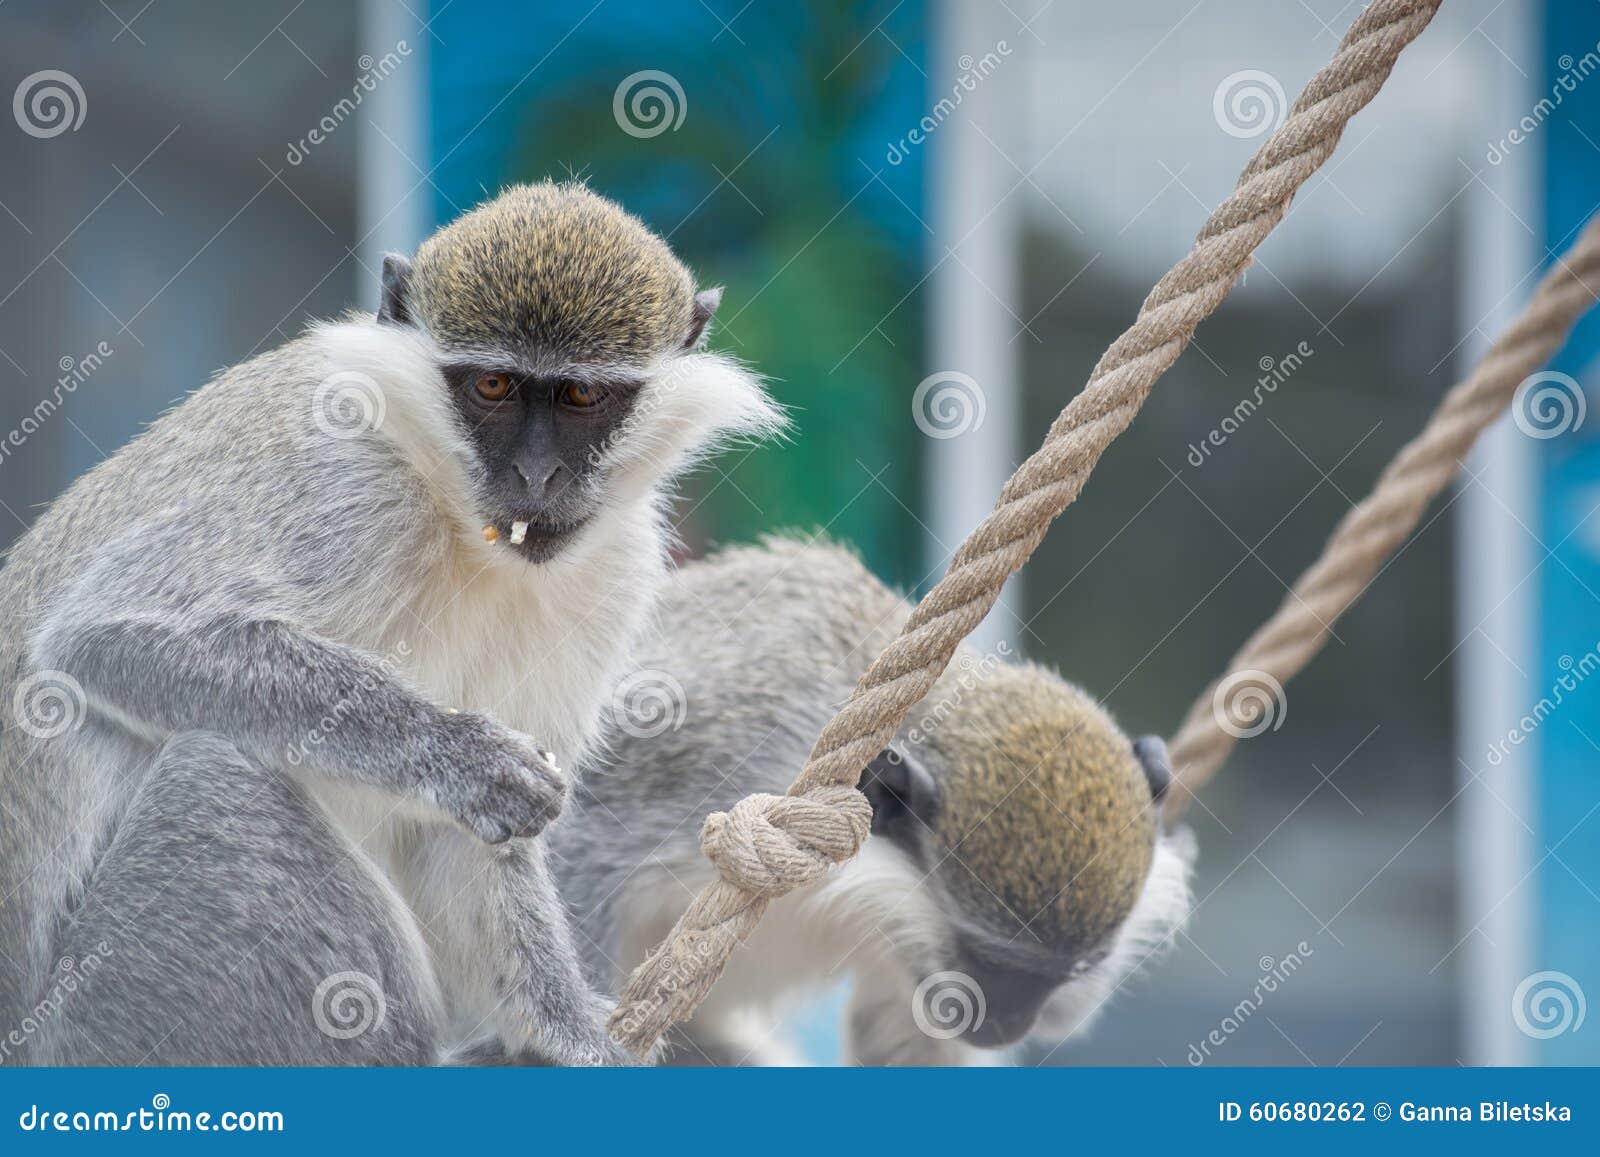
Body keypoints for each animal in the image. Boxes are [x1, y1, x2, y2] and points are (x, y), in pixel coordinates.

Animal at [0, 181, 782, 1066]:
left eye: (581, 396)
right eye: (492, 387)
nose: (536, 475)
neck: (451, 511)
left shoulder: (611, 566)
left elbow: (470, 844)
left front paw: (567, 1033)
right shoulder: (343, 479)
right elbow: (108, 633)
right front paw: (461, 754)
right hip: (103, 1018)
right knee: (218, 778)